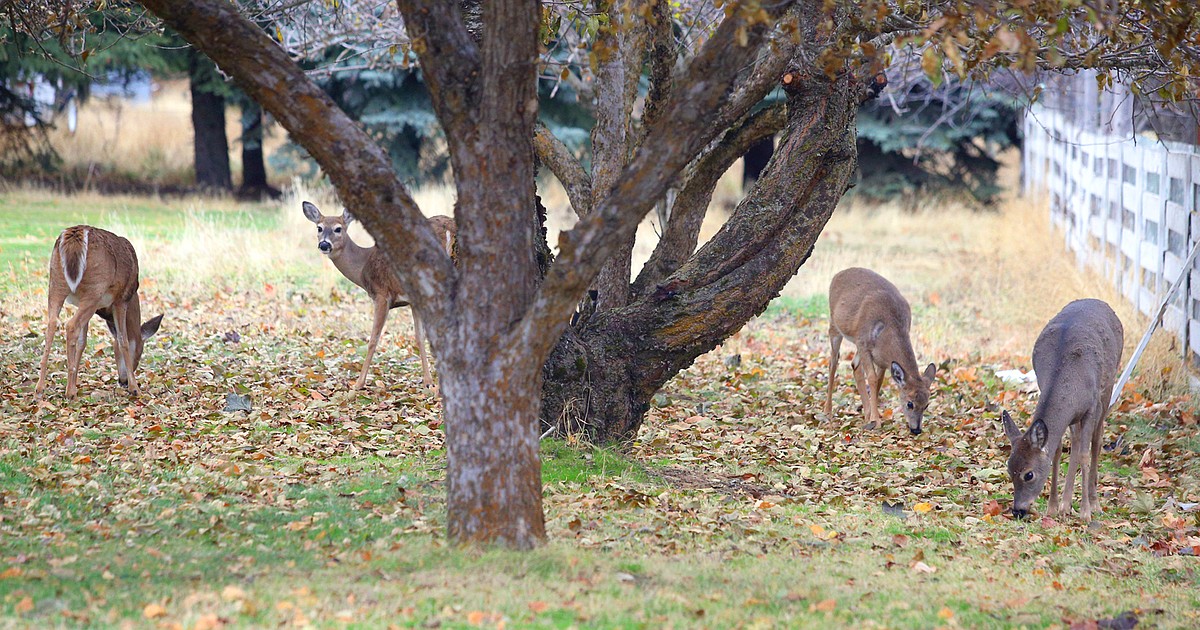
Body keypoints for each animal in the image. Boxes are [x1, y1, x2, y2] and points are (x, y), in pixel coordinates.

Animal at [34, 225, 164, 399]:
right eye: (139, 352)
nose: (122, 381)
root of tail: (76, 233)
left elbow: (82, 343)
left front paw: (74, 382)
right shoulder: (121, 300)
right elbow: (123, 339)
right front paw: (135, 388)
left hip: (55, 282)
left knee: (52, 324)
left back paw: (40, 388)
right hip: (95, 288)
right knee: (71, 325)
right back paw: (69, 393)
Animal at [301, 200, 456, 390]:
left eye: (338, 229)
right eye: (319, 228)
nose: (324, 245)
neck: (363, 266)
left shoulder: (381, 294)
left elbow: (373, 339)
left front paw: (358, 383)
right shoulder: (413, 300)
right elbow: (419, 337)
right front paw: (428, 381)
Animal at [824, 267, 937, 435]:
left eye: (927, 404)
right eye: (910, 403)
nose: (916, 430)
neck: (888, 329)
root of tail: (838, 274)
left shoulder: (881, 358)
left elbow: (878, 380)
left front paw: (871, 417)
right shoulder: (863, 342)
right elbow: (871, 378)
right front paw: (875, 421)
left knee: (854, 365)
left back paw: (865, 413)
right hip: (834, 326)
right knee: (833, 363)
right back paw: (828, 411)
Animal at [1001, 298, 1123, 522]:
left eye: (1029, 474)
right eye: (1009, 468)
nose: (1018, 510)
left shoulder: (1091, 406)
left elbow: (1085, 454)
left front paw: (1085, 512)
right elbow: (1057, 453)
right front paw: (1052, 507)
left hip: (1108, 386)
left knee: (1097, 439)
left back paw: (1095, 504)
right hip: (1076, 417)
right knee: (1075, 440)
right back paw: (1066, 505)